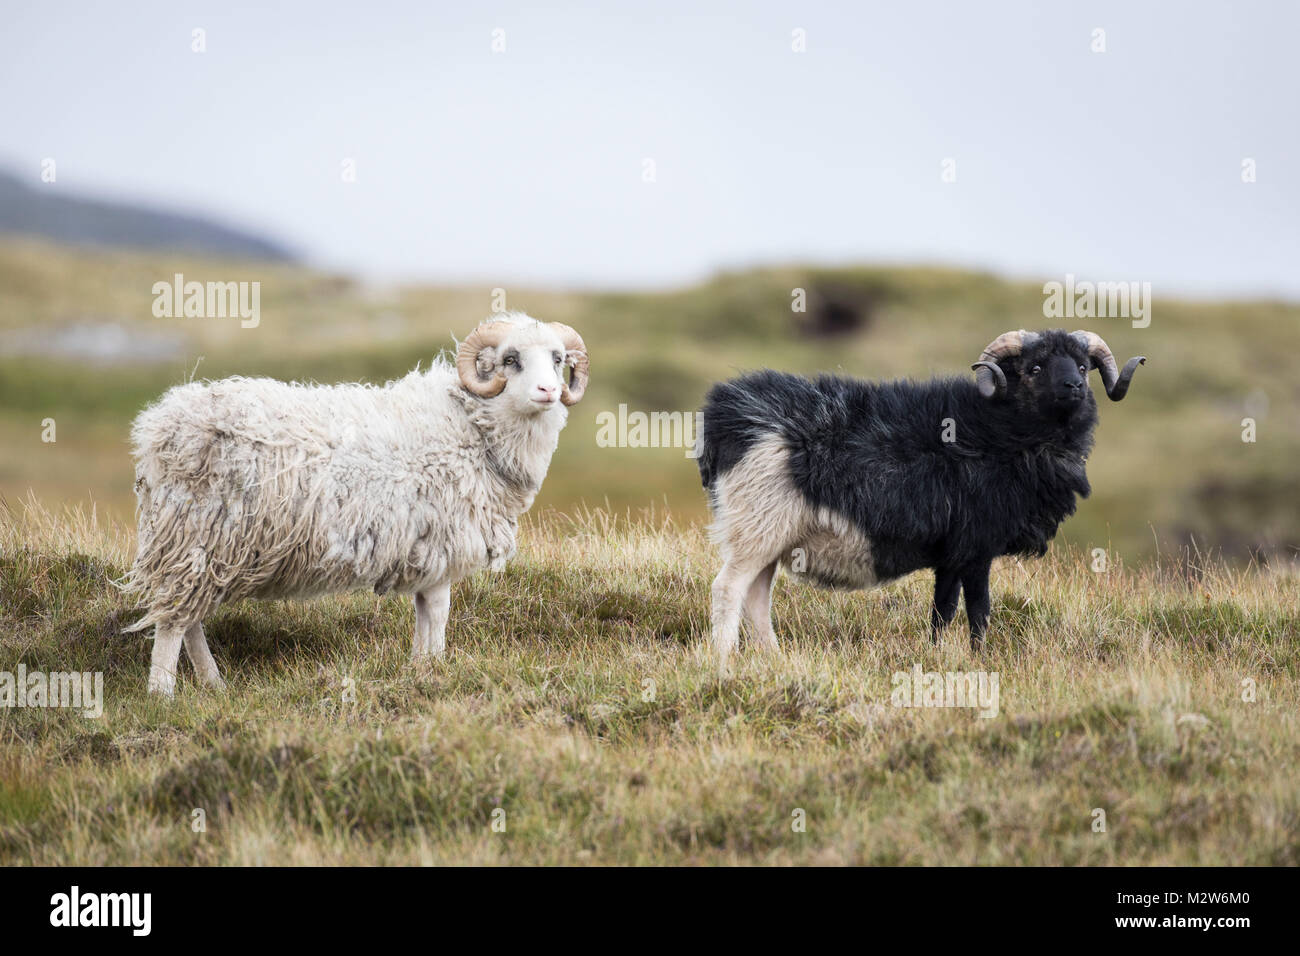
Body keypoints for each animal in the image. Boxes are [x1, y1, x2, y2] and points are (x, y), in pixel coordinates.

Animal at [121, 312, 589, 695]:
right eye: (511, 359)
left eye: (557, 358)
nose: (549, 390)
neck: (470, 426)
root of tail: (157, 431)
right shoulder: (442, 545)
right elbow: (438, 614)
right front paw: (436, 669)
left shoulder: (421, 550)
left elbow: (422, 615)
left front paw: (419, 669)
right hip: (199, 533)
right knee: (173, 621)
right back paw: (161, 694)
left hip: (201, 547)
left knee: (189, 619)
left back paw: (212, 683)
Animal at [696, 328, 1144, 663]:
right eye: (1034, 367)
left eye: (1083, 365)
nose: (1073, 386)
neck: (1001, 431)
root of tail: (725, 416)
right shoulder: (976, 548)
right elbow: (978, 610)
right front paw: (981, 660)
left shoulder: (951, 554)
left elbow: (942, 611)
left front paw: (936, 655)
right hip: (756, 526)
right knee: (728, 589)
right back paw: (723, 662)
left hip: (770, 535)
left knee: (756, 596)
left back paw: (774, 658)